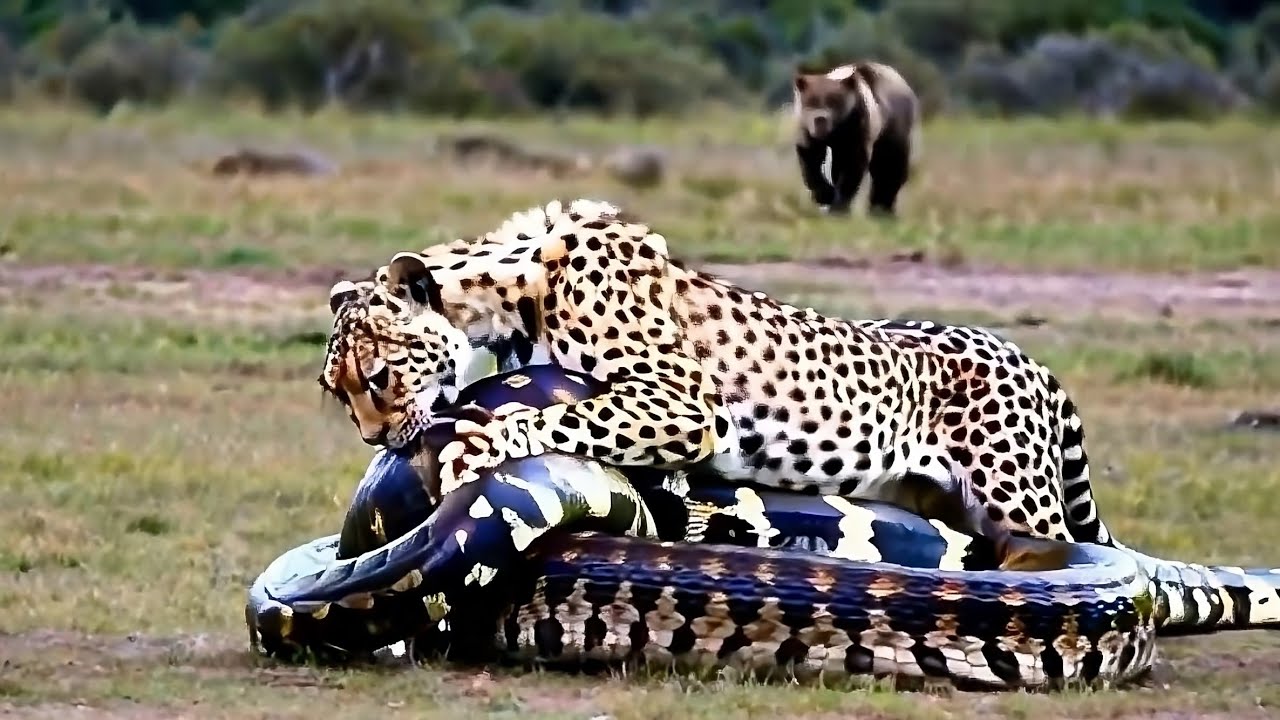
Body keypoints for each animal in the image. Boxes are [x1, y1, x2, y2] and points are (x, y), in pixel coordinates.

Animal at [318, 198, 1115, 554]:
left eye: (380, 377)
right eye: (339, 393)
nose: (377, 440)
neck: (511, 294)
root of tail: (1026, 355)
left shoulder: (685, 406)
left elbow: (554, 416)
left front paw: (469, 451)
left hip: (1020, 507)